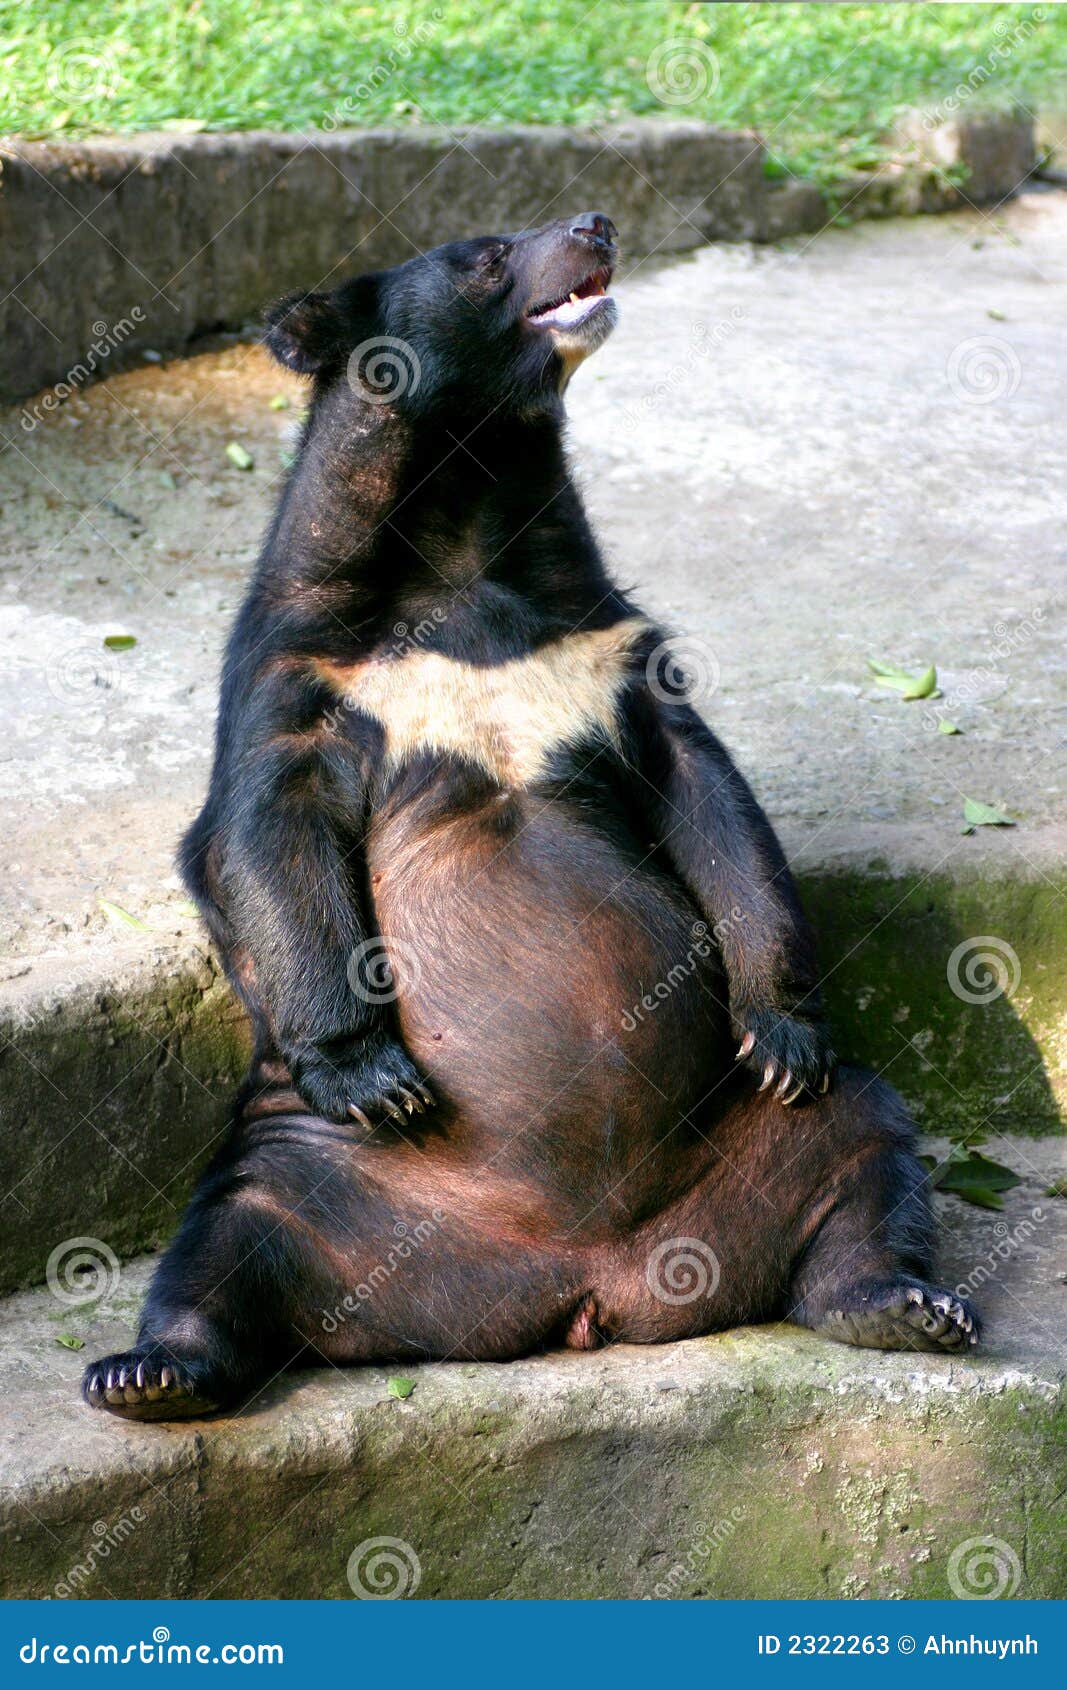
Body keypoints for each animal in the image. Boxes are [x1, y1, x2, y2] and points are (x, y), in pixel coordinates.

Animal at [84, 211, 977, 1420]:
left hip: (747, 1132)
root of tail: (577, 1283)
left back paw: (906, 1303)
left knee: (866, 1152)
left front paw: (785, 1026)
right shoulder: (300, 667)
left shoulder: (596, 644)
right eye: (485, 255)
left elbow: (706, 793)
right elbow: (266, 836)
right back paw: (149, 1371)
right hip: (300, 1157)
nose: (594, 225)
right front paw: (373, 1073)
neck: (467, 523)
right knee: (225, 1242)